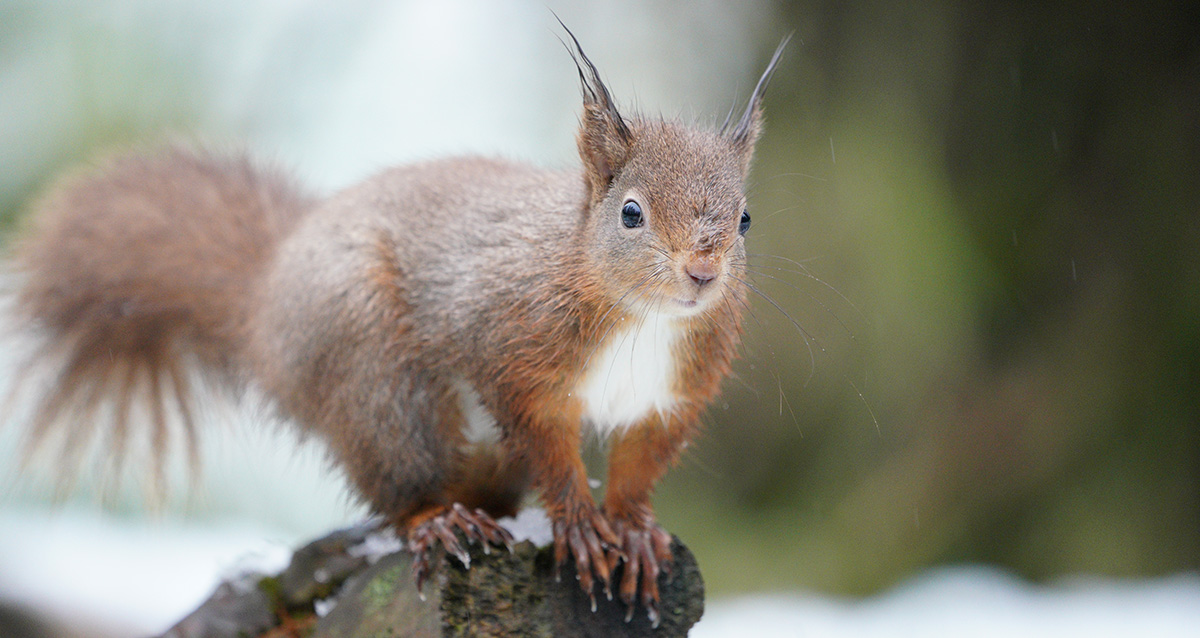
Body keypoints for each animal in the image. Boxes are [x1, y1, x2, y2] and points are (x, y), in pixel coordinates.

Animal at [8, 26, 787, 624]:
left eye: (745, 218)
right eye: (631, 213)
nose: (703, 273)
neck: (643, 319)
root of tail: (265, 306)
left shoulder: (670, 398)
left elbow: (638, 465)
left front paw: (633, 530)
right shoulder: (512, 351)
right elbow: (548, 445)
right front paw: (579, 524)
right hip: (378, 379)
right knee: (398, 490)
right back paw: (439, 521)